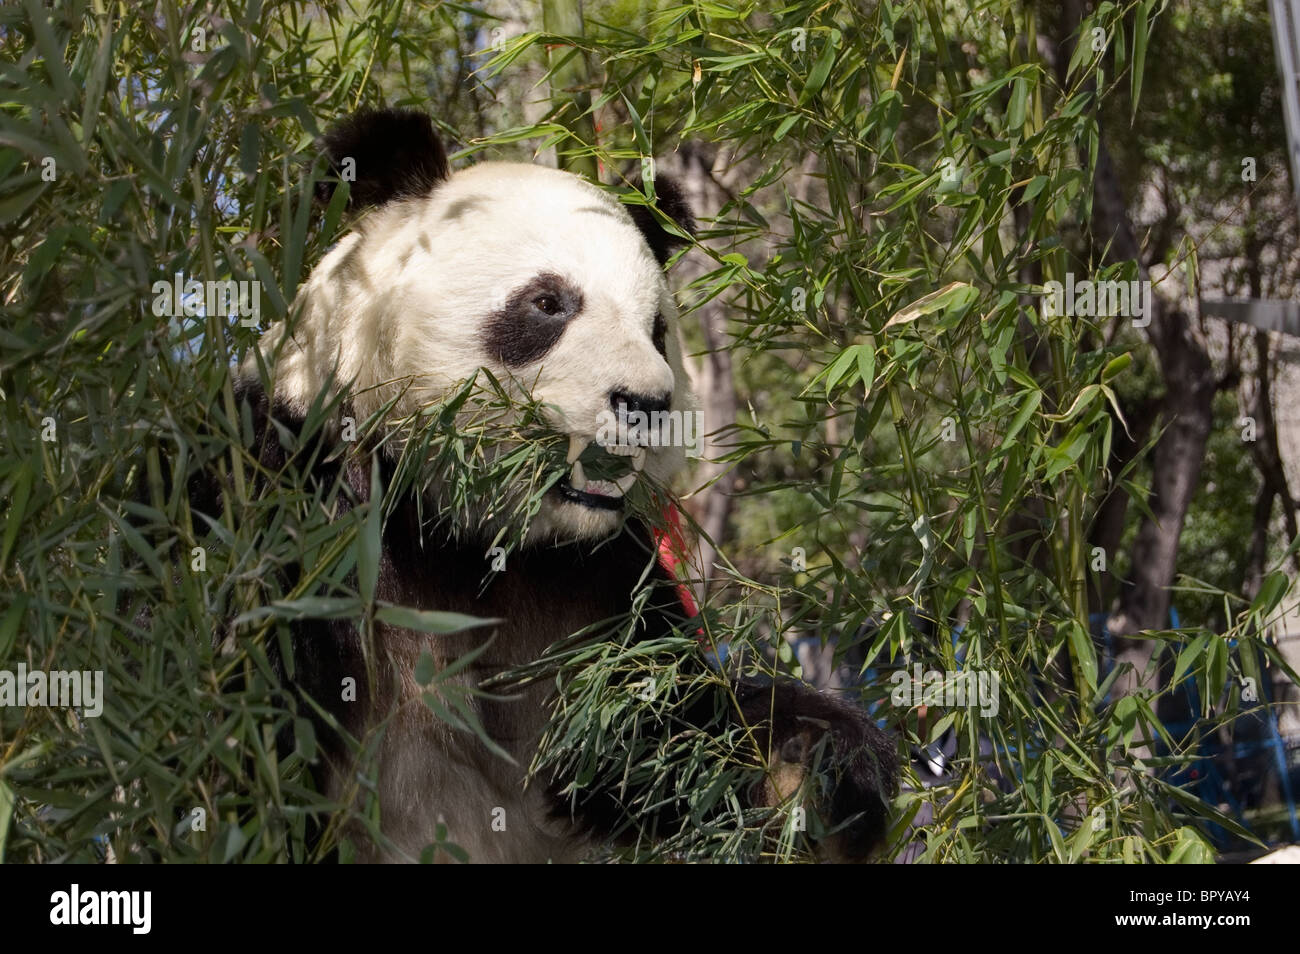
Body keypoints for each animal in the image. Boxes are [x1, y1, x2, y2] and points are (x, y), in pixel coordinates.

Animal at [221, 108, 898, 863]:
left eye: (657, 329)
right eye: (548, 303)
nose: (647, 404)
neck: (468, 538)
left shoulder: (602, 583)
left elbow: (657, 746)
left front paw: (819, 765)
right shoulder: (296, 503)